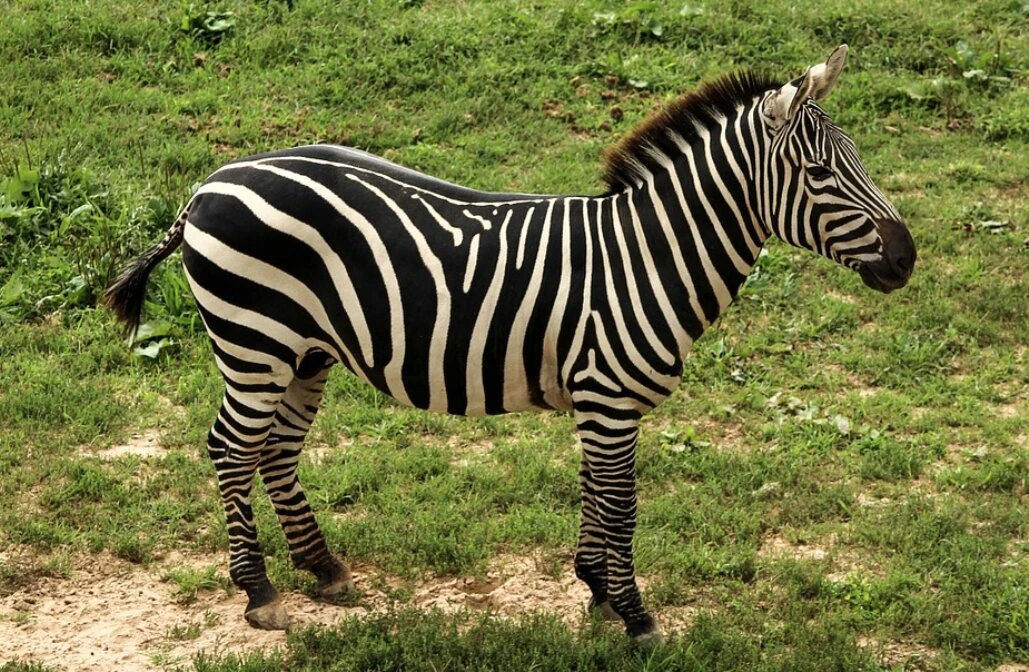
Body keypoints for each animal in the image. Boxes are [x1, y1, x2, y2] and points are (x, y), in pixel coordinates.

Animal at [103, 44, 915, 645]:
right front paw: (636, 616)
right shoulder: (610, 398)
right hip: (256, 341)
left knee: (273, 451)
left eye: (856, 157)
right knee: (229, 449)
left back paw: (323, 568)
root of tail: (208, 185)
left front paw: (595, 590)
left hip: (306, 352)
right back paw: (259, 590)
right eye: (820, 172)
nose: (907, 259)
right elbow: (622, 504)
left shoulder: (599, 400)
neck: (648, 254)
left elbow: (596, 494)